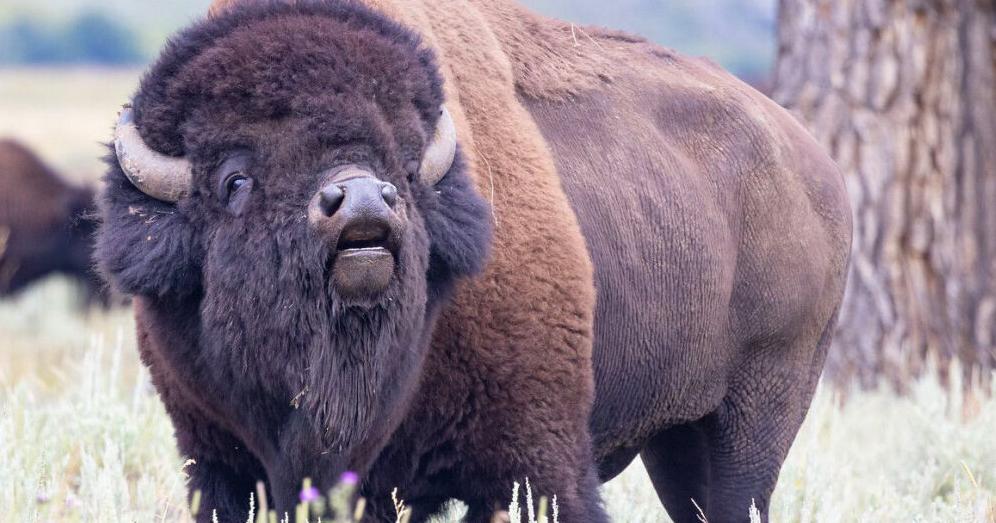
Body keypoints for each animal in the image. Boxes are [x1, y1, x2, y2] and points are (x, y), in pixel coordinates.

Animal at [96, 1, 851, 522]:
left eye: (404, 160)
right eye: (234, 178)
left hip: (754, 416)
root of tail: (813, 161)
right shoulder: (222, 463)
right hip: (678, 435)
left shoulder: (539, 460)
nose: (363, 201)